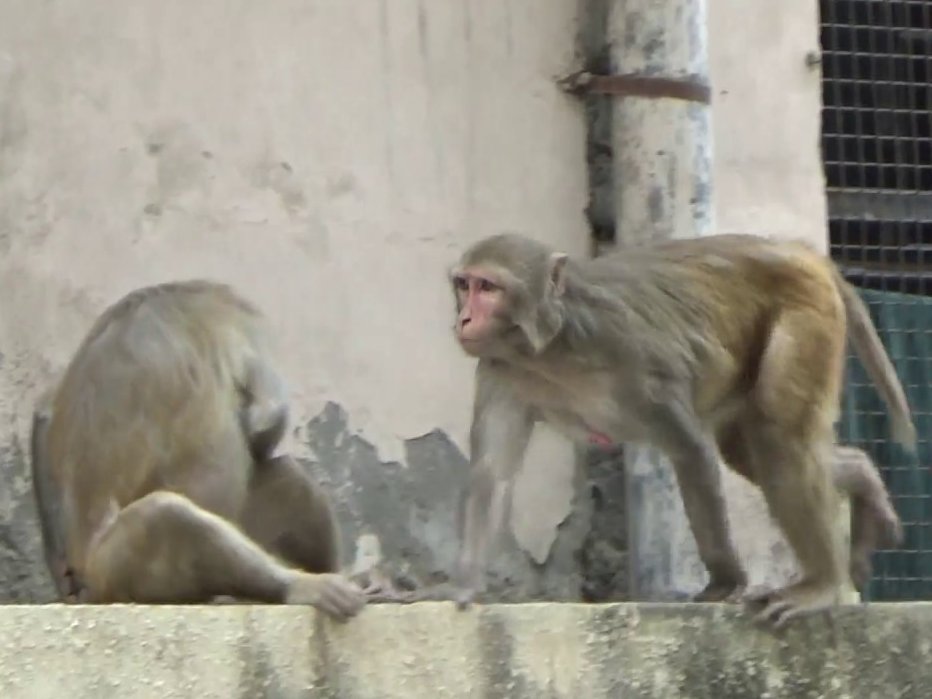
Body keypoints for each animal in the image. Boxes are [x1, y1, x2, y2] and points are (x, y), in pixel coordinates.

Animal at [33, 280, 367, 619]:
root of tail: (92, 587)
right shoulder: (238, 317)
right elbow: (265, 417)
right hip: (115, 572)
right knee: (166, 516)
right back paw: (294, 587)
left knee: (286, 479)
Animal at [446, 232, 915, 628]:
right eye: (463, 285)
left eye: (488, 288)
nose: (464, 319)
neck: (548, 346)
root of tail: (795, 250)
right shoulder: (499, 369)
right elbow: (492, 476)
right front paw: (467, 584)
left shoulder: (630, 352)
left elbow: (690, 449)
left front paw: (725, 581)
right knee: (750, 453)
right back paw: (863, 480)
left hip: (807, 310)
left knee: (778, 440)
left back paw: (821, 584)